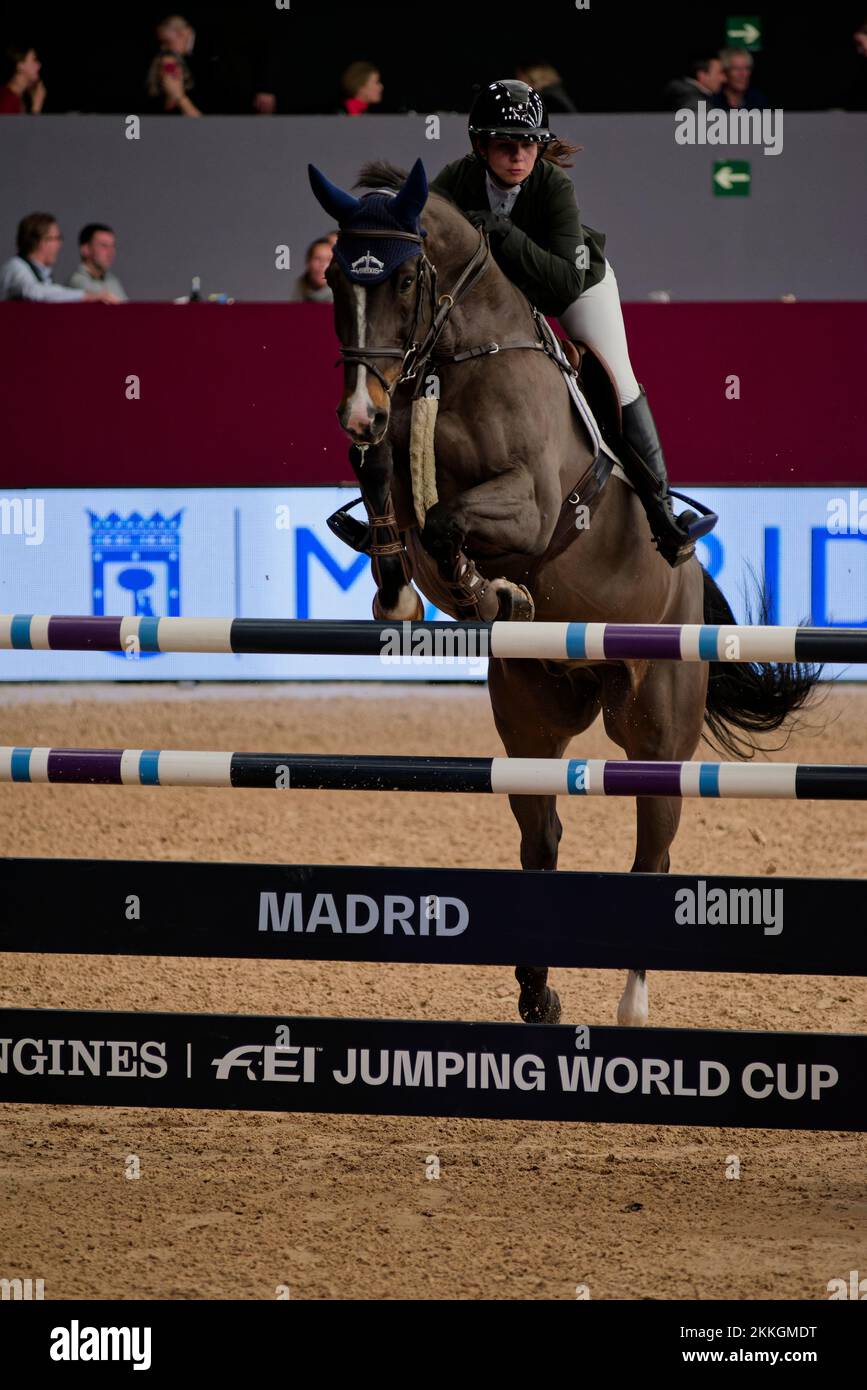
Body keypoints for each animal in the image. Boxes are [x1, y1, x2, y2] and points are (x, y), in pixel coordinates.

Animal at [310, 157, 818, 1026]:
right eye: (336, 277)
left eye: (405, 277)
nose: (357, 411)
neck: (459, 355)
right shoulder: (398, 461)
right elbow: (390, 494)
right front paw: (401, 591)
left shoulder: (534, 504)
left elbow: (448, 523)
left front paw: (489, 591)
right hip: (530, 721)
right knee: (539, 839)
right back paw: (536, 992)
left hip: (654, 732)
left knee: (652, 853)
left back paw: (631, 1004)